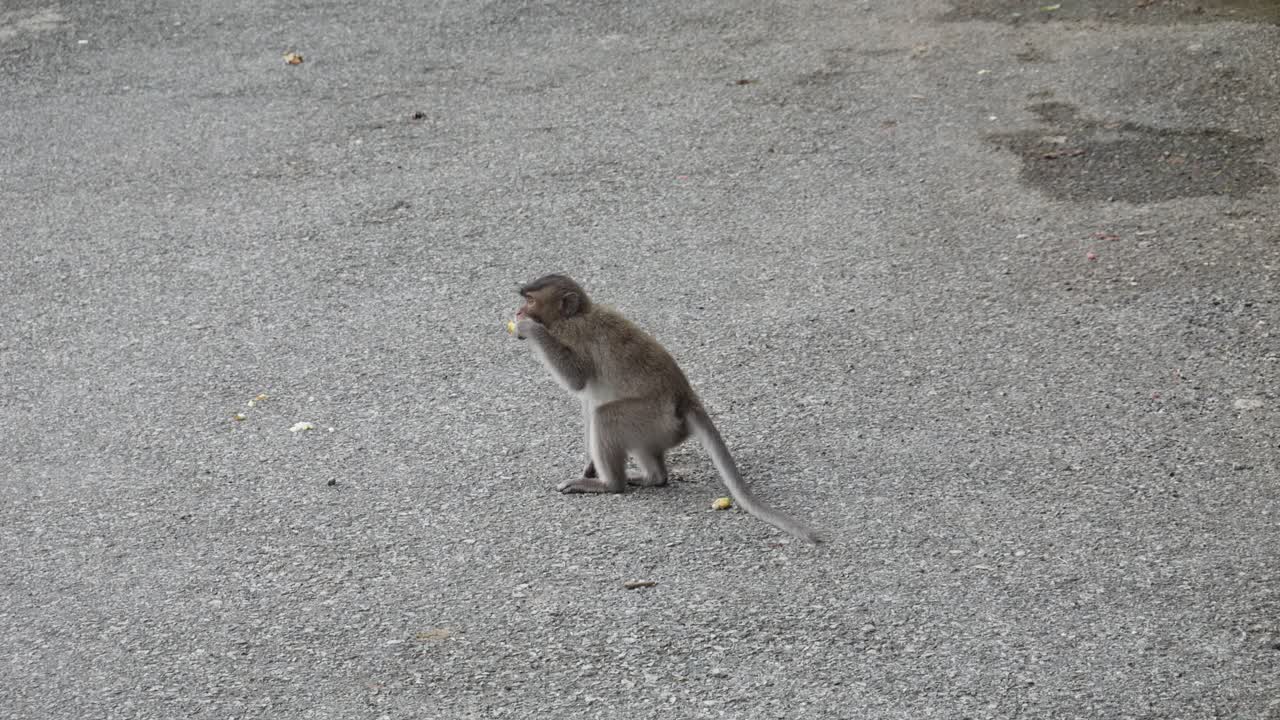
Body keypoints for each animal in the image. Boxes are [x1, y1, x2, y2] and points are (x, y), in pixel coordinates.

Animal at [511, 274, 822, 544]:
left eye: (531, 300)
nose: (518, 311)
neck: (575, 315)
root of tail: (686, 400)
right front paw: (589, 464)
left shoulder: (576, 334)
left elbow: (576, 379)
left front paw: (529, 328)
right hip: (656, 429)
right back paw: (652, 477)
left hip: (653, 418)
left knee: (605, 417)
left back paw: (611, 484)